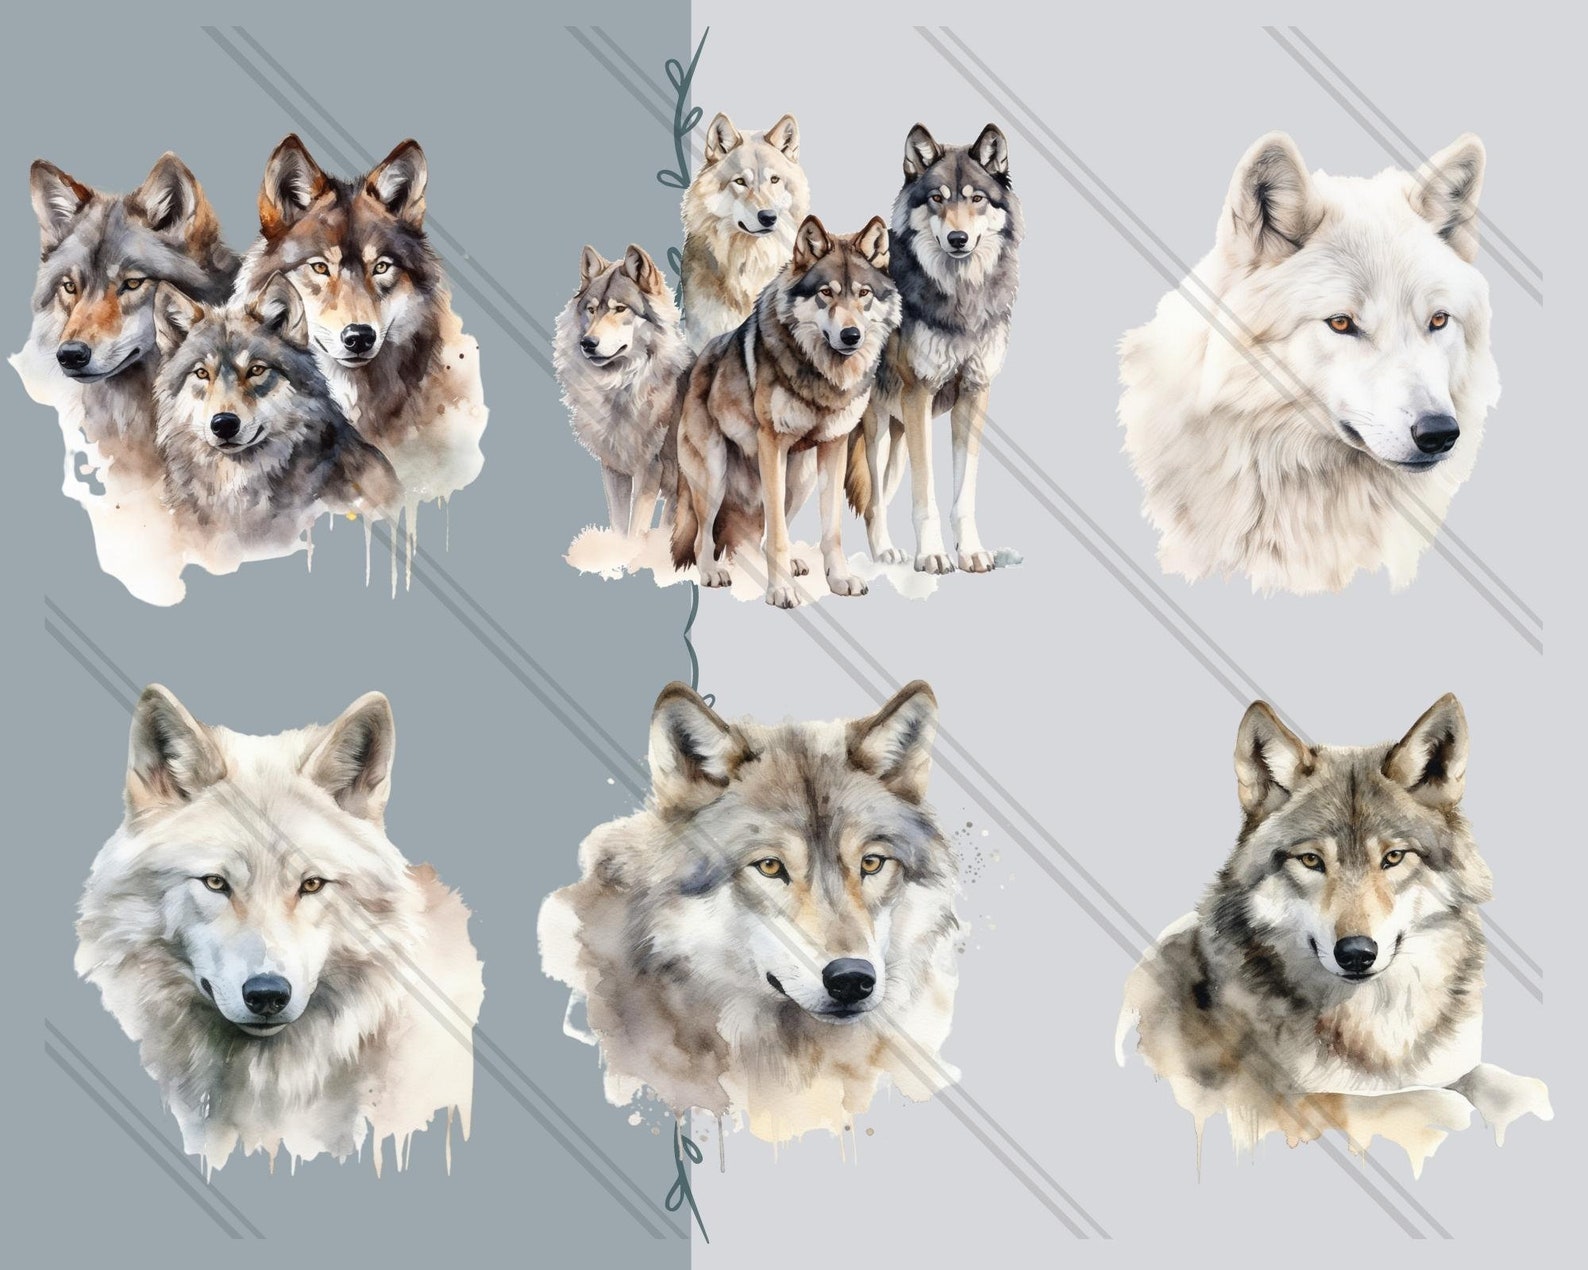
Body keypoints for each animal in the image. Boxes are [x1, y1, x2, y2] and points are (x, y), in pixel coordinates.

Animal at [553, 244, 690, 534]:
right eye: (591, 309)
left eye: (620, 309)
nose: (587, 343)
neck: (620, 386)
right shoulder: (614, 469)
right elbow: (619, 525)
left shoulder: (651, 470)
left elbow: (636, 530)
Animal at [672, 215, 899, 607]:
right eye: (826, 293)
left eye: (863, 294)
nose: (851, 336)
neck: (823, 375)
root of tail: (697, 363)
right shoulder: (772, 442)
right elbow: (776, 536)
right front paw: (780, 591)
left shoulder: (835, 446)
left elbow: (831, 530)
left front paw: (839, 580)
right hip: (715, 475)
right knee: (706, 535)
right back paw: (712, 573)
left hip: (800, 478)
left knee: (767, 530)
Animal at [847, 124, 1023, 575]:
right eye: (937, 198)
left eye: (976, 199)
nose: (958, 239)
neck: (961, 298)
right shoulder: (920, 394)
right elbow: (925, 493)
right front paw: (931, 555)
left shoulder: (975, 394)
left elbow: (964, 493)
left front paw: (972, 552)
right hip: (875, 429)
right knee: (872, 500)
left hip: (898, 440)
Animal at [1117, 695, 1550, 1168]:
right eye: (1311, 860)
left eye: (1394, 857)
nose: (1356, 953)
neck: (1374, 1025)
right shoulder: (1266, 1100)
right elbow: (1389, 1099)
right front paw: (1453, 1110)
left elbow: (1499, 1081)